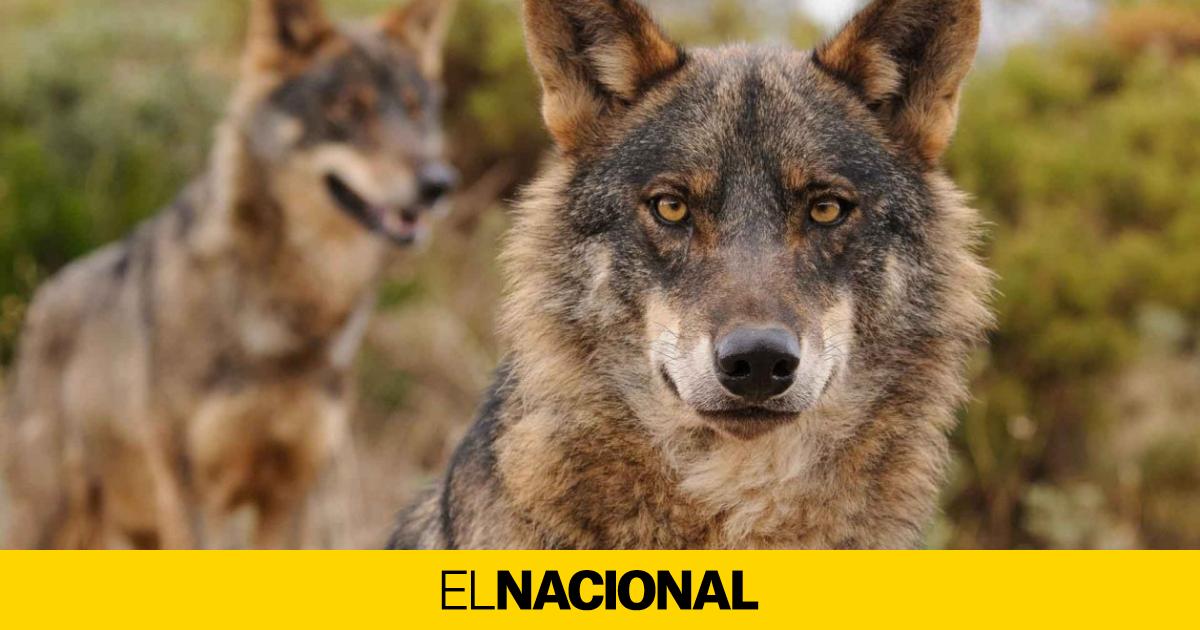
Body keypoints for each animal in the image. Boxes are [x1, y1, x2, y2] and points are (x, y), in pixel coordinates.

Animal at [2, 0, 457, 549]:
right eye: (348, 108)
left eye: (414, 109)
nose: (437, 184)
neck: (290, 323)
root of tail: (42, 298)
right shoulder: (194, 495)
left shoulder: (291, 492)